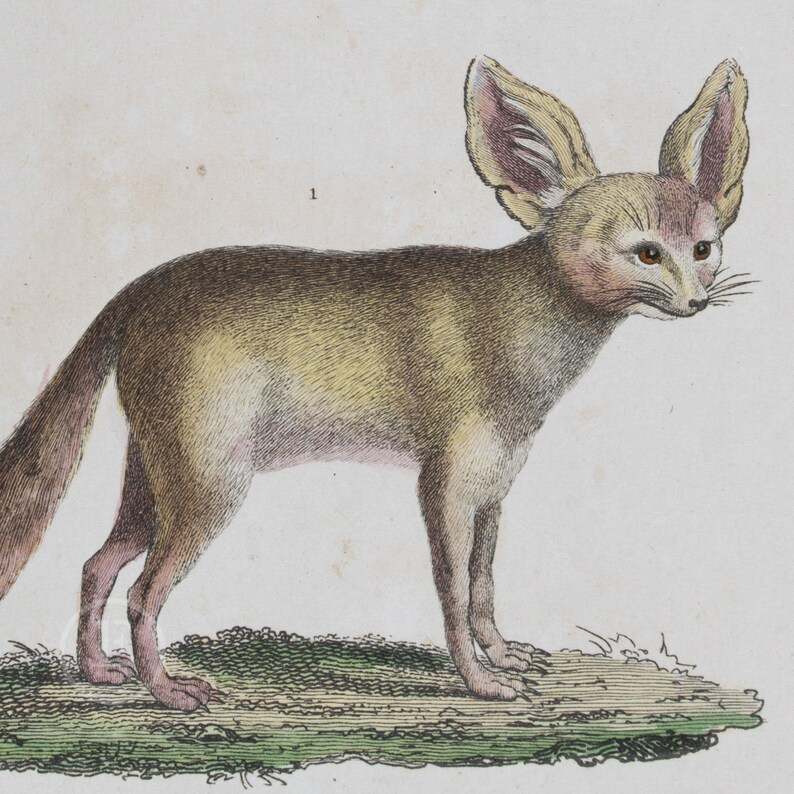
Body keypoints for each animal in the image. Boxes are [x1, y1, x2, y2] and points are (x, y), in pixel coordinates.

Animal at [0, 57, 750, 710]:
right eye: (645, 252)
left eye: (703, 248)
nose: (696, 302)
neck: (519, 322)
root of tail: (138, 293)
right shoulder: (444, 484)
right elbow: (453, 595)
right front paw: (482, 684)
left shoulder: (496, 487)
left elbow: (484, 586)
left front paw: (504, 655)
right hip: (208, 486)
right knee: (142, 592)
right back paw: (167, 691)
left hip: (155, 480)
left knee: (96, 564)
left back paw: (97, 671)